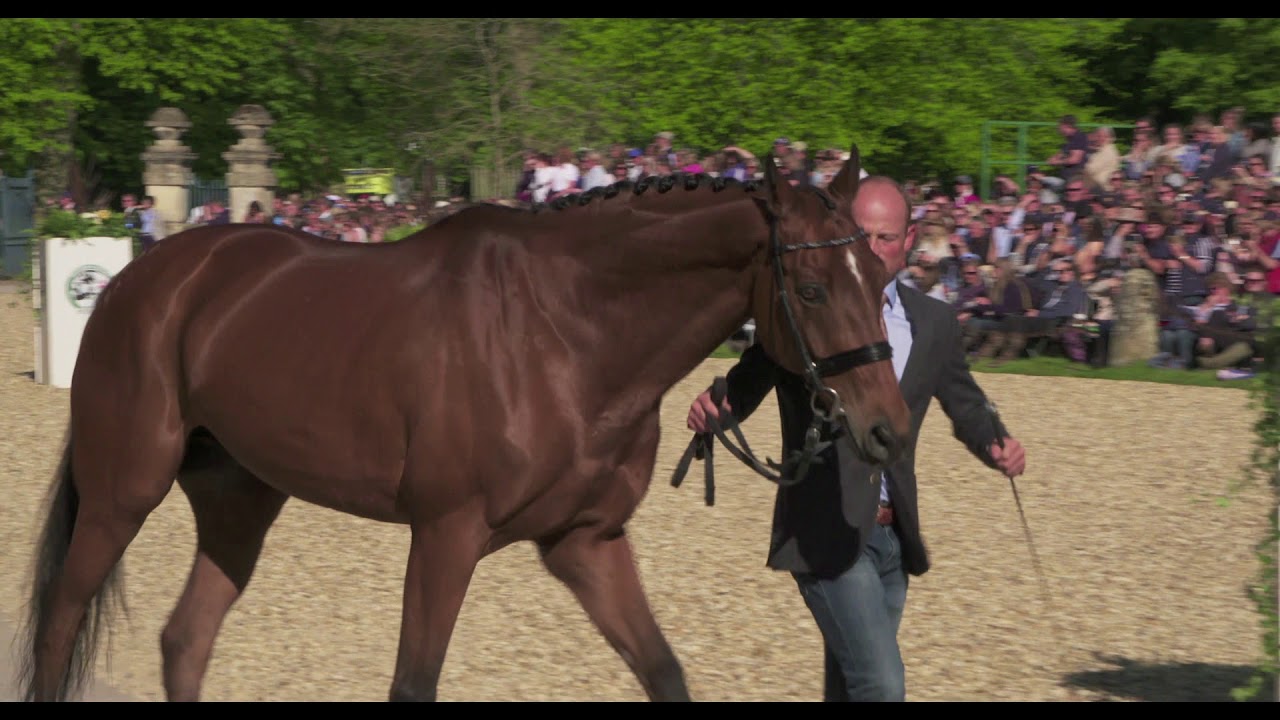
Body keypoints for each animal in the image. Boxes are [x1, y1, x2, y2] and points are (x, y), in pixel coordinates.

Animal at [17, 146, 912, 702]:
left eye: (879, 275)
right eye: (812, 288)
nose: (889, 430)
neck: (565, 332)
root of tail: (142, 277)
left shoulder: (586, 542)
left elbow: (663, 672)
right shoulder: (446, 534)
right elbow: (414, 682)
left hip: (240, 502)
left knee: (185, 640)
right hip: (122, 493)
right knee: (59, 628)